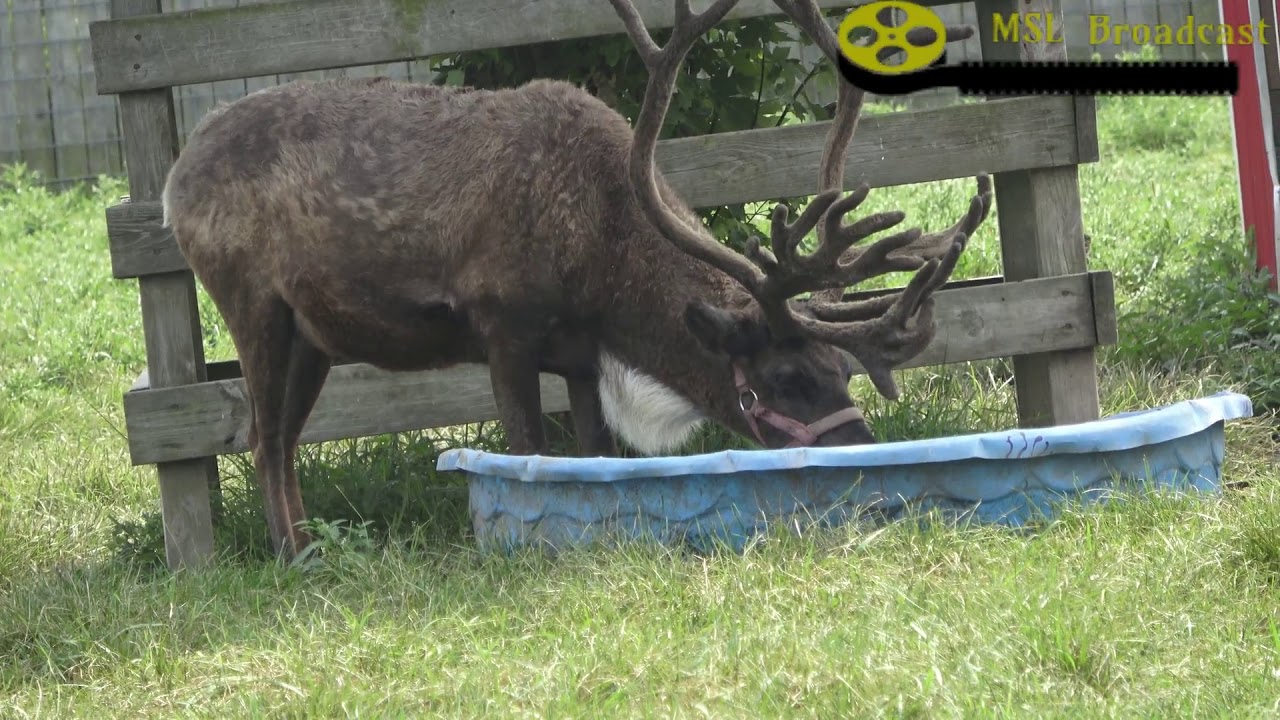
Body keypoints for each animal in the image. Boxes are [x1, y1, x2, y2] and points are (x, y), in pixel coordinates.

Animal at [160, 0, 993, 560]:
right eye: (784, 377)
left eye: (843, 368)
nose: (863, 451)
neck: (601, 264)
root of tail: (174, 178)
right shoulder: (501, 321)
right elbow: (528, 448)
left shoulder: (582, 354)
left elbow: (597, 456)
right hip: (252, 302)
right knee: (265, 439)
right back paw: (293, 558)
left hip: (314, 336)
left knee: (283, 440)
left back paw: (310, 547)